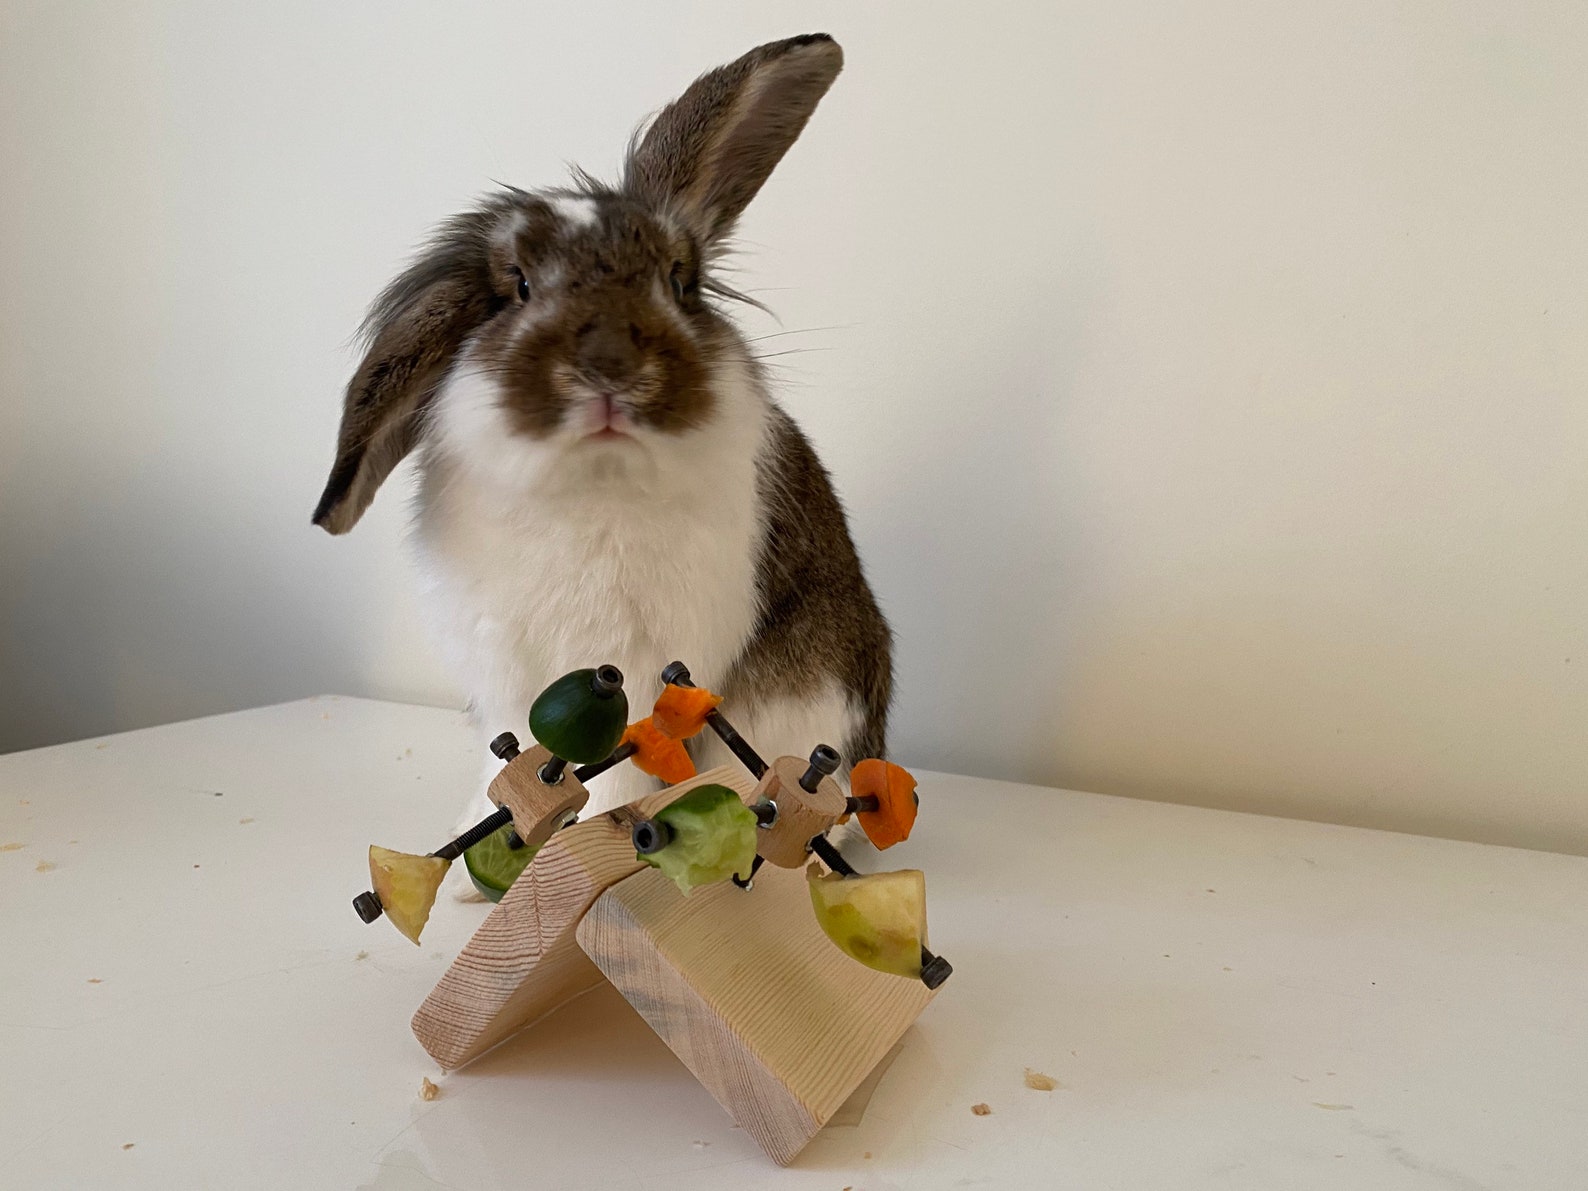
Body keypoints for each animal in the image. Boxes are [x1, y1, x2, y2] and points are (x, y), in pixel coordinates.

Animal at [311, 33, 891, 852]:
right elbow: (522, 760)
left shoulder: (643, 664)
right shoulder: (507, 670)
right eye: (518, 286)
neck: (594, 478)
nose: (611, 367)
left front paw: (599, 835)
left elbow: (620, 764)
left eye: (681, 281)